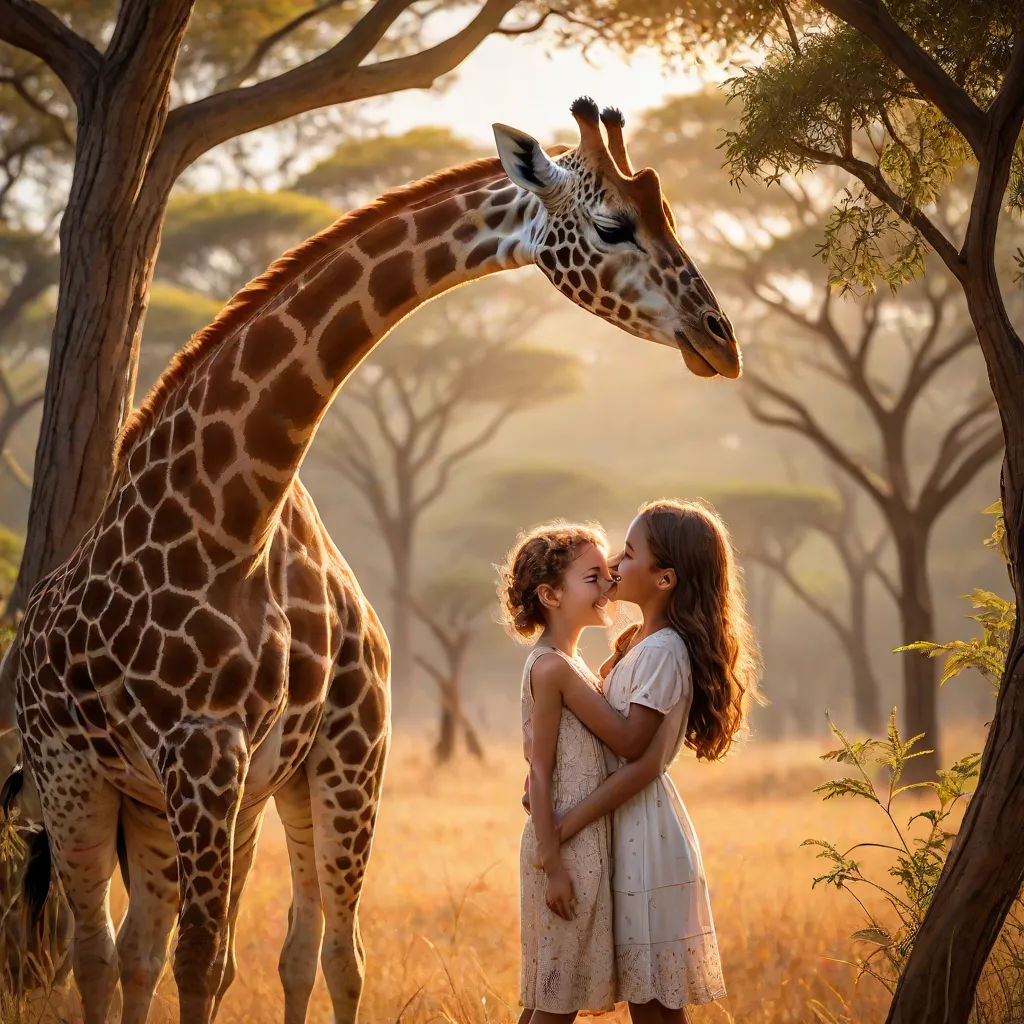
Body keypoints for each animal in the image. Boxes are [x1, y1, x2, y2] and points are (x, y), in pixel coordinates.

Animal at [0, 97, 742, 1024]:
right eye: (614, 225)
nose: (721, 338)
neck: (232, 513)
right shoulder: (197, 752)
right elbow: (199, 962)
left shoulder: (318, 756)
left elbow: (306, 959)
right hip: (80, 780)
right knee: (99, 954)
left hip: (207, 798)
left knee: (160, 950)